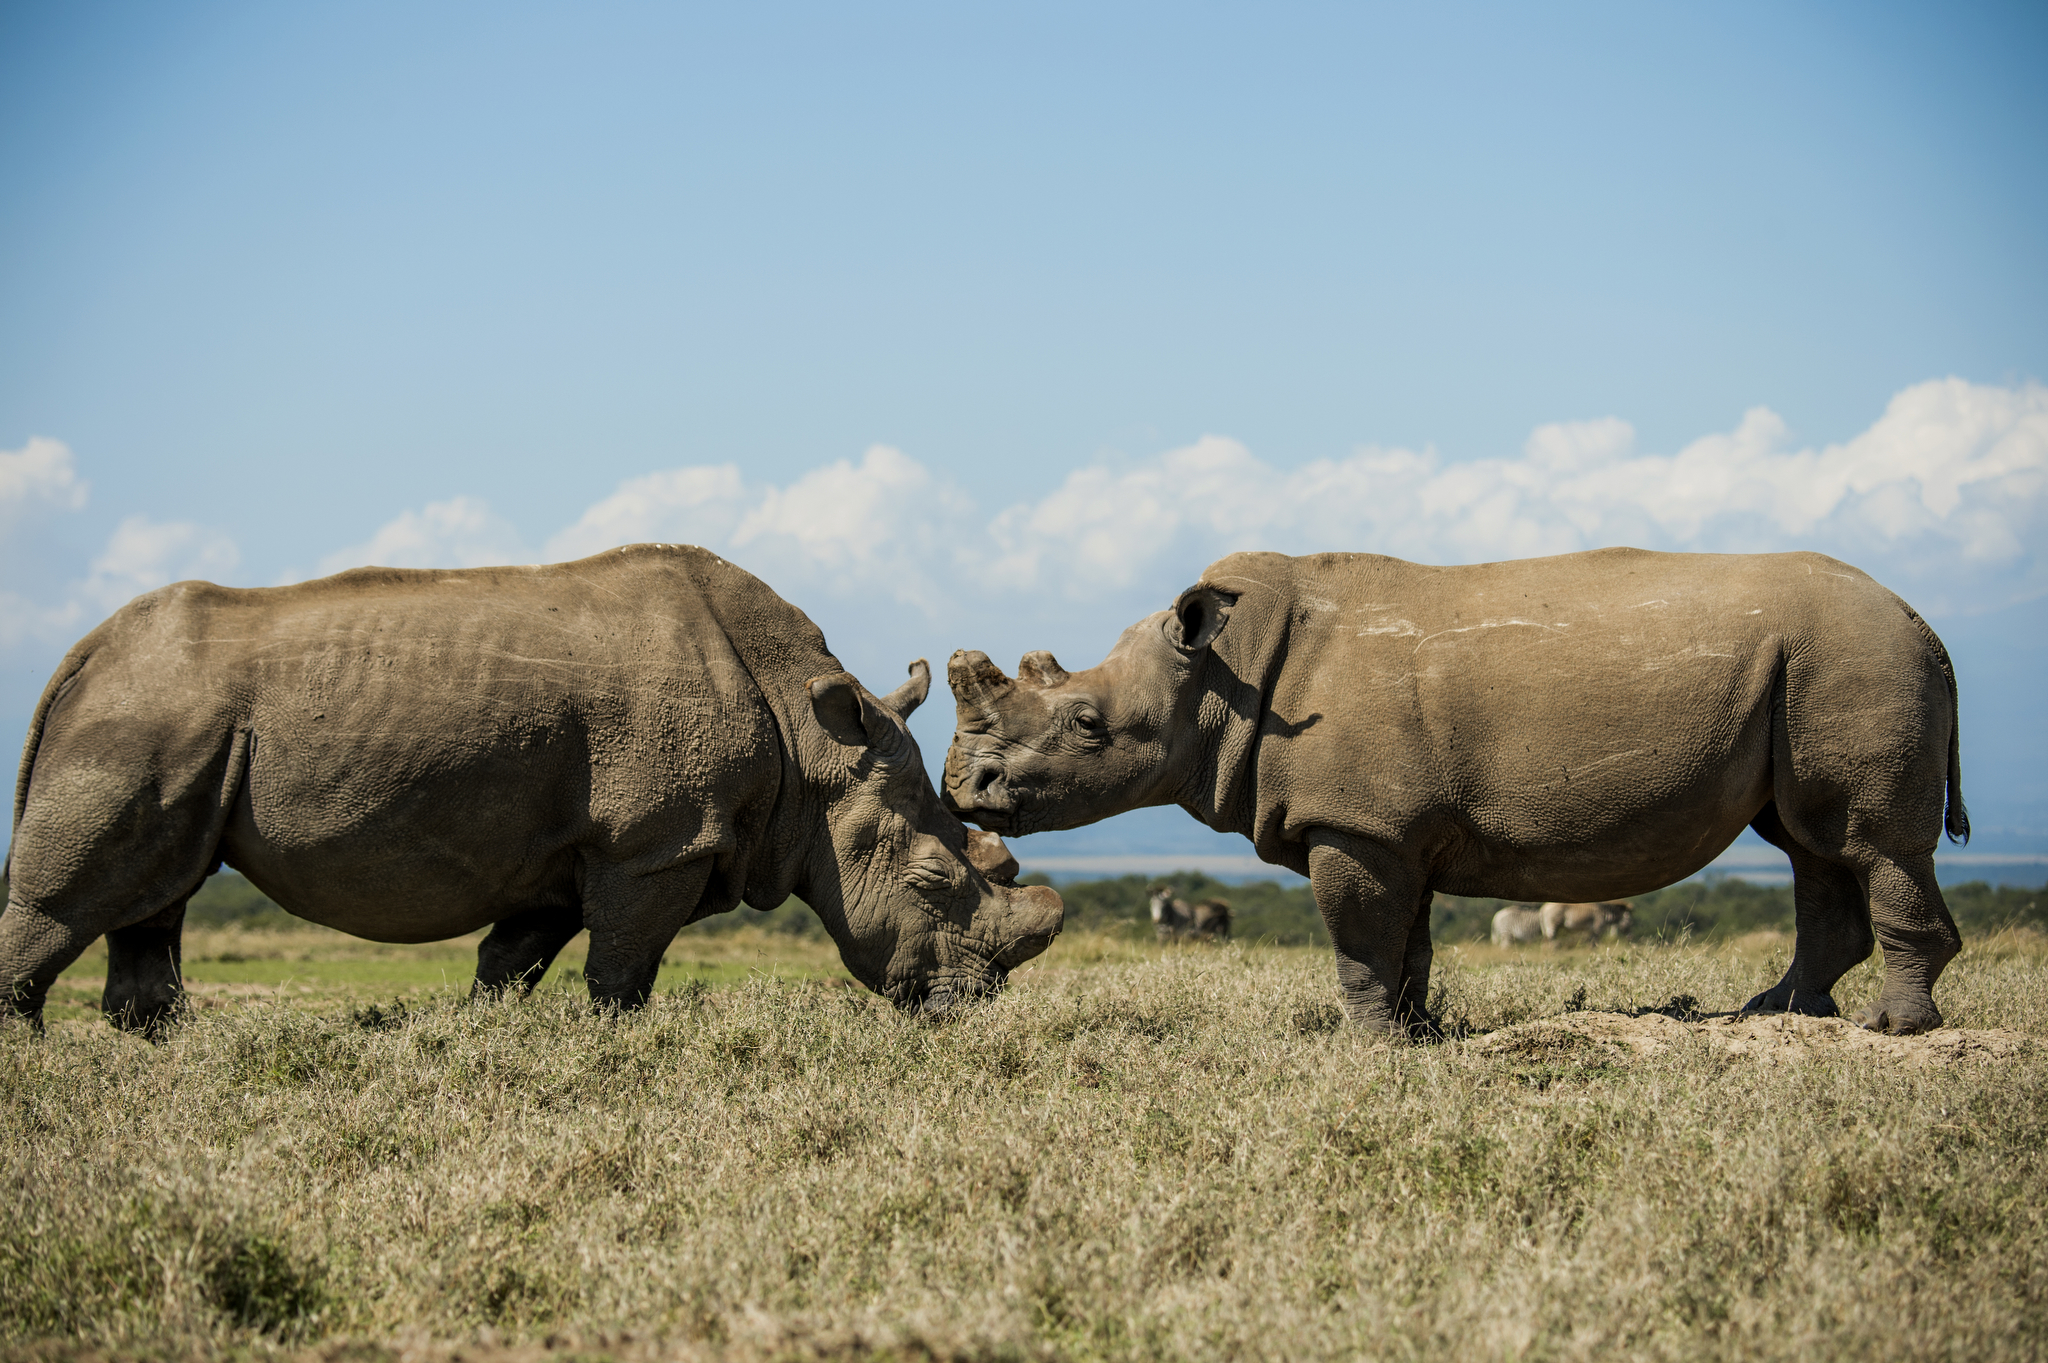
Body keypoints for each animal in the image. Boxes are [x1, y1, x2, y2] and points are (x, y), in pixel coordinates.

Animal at [1, 544, 1062, 1034]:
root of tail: (78, 653)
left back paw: (157, 1050)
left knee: (157, 894)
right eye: (931, 882)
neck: (814, 751)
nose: (968, 1005)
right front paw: (612, 1043)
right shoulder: (657, 842)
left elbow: (510, 960)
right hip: (145, 715)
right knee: (79, 899)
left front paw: (480, 1036)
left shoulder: (566, 853)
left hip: (176, 724)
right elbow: (623, 965)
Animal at [944, 548, 1968, 1036]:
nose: (964, 786)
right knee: (1808, 843)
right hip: (1820, 663)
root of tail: (1924, 619)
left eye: (1086, 722)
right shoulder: (1396, 828)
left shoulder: (1354, 824)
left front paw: (1368, 1048)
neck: (1217, 676)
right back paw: (1779, 1015)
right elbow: (1409, 941)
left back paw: (1892, 1030)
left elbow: (1359, 937)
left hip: (1853, 655)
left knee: (1866, 843)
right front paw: (1418, 1032)